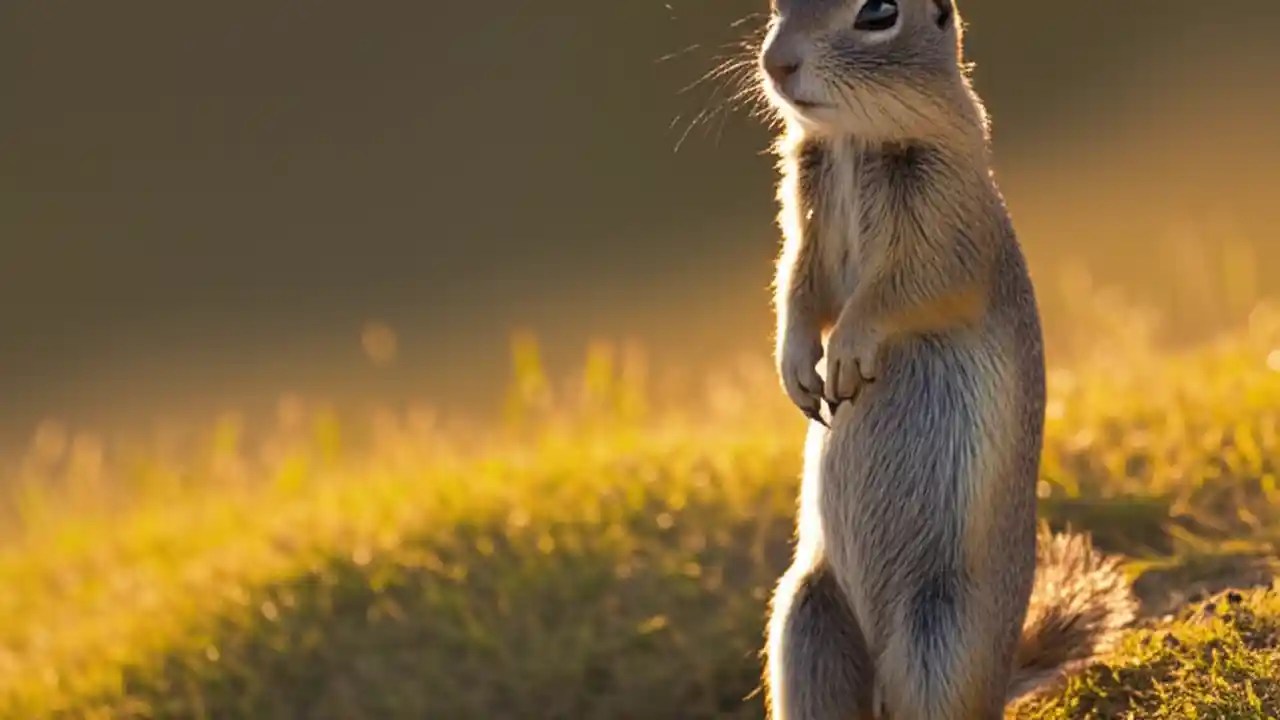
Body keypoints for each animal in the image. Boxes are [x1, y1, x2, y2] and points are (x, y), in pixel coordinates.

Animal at [754, 1, 1136, 718]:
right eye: (775, 5)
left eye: (879, 12)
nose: (777, 64)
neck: (851, 141)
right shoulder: (805, 213)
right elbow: (797, 284)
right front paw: (795, 363)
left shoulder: (946, 224)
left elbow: (904, 290)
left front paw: (846, 350)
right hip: (805, 617)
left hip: (940, 643)